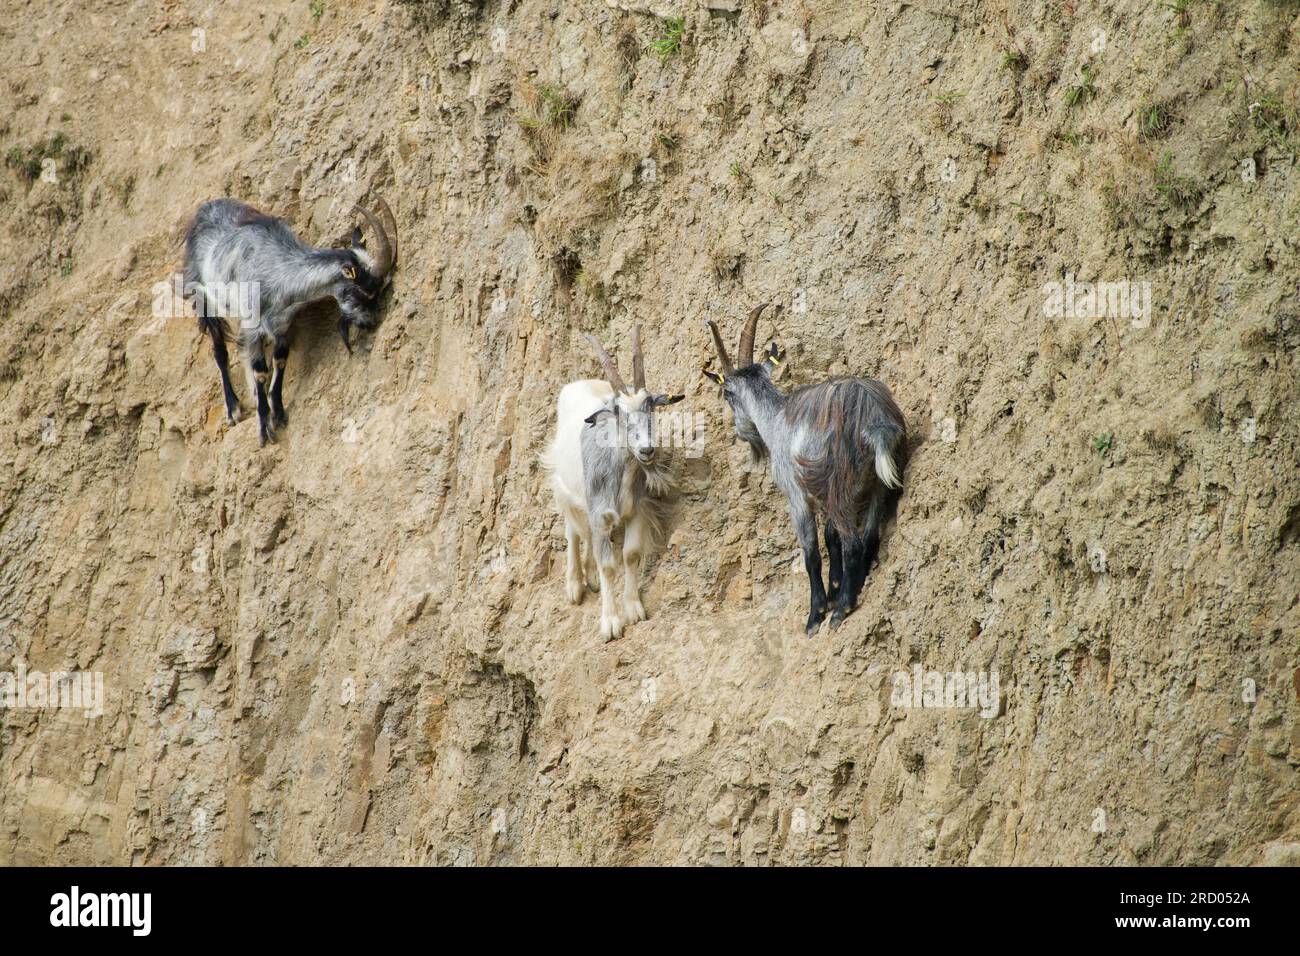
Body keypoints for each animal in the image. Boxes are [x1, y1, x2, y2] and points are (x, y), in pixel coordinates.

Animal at [182, 197, 397, 445]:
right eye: (364, 292)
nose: (370, 323)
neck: (275, 271)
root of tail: (204, 208)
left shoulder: (282, 324)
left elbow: (280, 360)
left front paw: (278, 412)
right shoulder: (253, 321)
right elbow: (260, 371)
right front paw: (265, 427)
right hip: (203, 298)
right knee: (220, 350)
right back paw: (233, 409)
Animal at [542, 327, 684, 640]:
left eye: (651, 405)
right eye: (619, 411)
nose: (646, 450)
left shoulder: (637, 510)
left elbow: (630, 555)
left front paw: (633, 608)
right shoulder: (600, 512)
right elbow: (608, 565)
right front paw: (610, 622)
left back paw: (590, 577)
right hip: (563, 486)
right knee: (572, 531)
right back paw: (574, 584)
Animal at [703, 303, 906, 634]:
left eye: (727, 394)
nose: (742, 432)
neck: (777, 419)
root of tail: (873, 417)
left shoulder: (797, 495)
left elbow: (811, 551)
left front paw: (818, 613)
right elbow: (830, 536)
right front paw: (836, 589)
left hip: (840, 482)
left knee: (853, 542)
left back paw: (841, 611)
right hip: (876, 484)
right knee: (869, 536)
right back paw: (854, 589)